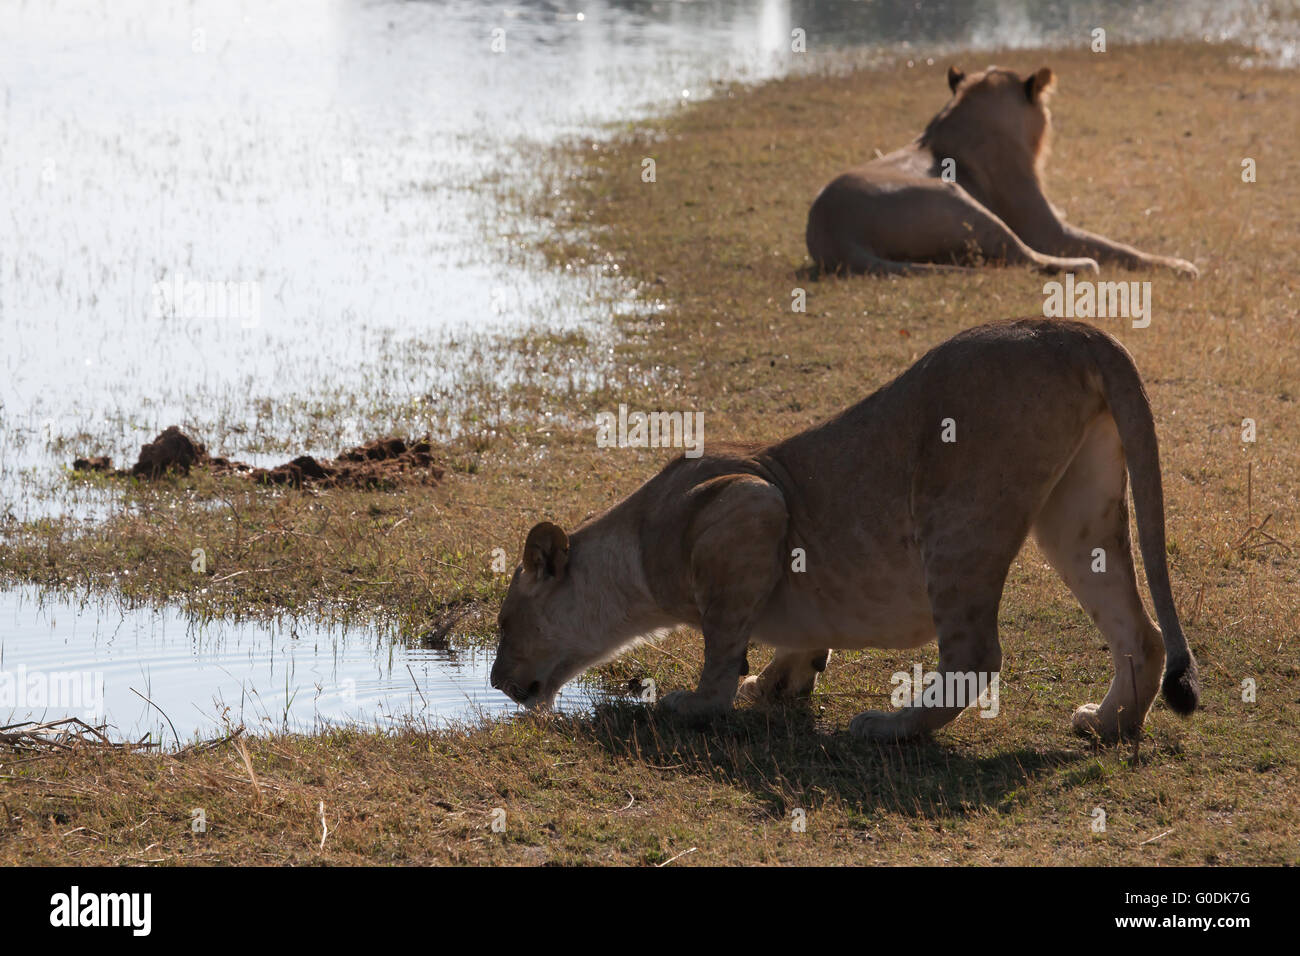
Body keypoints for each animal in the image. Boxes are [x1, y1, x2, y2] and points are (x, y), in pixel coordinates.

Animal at [491, 319, 1200, 742]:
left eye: (503, 624)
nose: (495, 682)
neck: (629, 558)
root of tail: (1071, 328)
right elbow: (793, 638)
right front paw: (781, 680)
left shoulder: (749, 503)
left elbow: (720, 645)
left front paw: (695, 703)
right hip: (1075, 516)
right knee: (1141, 632)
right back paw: (1108, 724)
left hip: (955, 516)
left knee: (976, 654)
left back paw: (887, 727)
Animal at [805, 65, 1199, 277]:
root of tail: (835, 235)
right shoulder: (1047, 229)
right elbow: (1119, 247)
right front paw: (1180, 265)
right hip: (955, 197)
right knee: (1023, 255)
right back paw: (1083, 265)